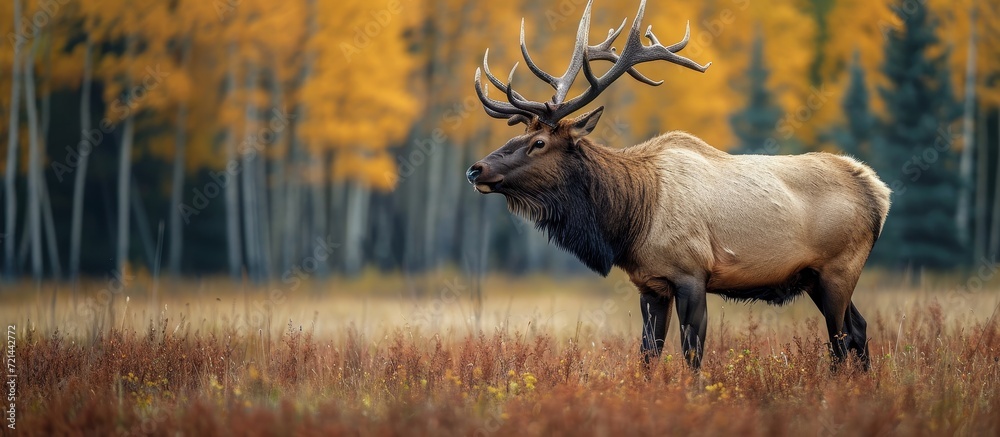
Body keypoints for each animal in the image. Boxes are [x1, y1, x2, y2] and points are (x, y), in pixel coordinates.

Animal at [464, 0, 891, 370]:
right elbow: (647, 355)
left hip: (839, 268)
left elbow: (692, 355)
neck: (631, 219)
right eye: (520, 135)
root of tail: (879, 193)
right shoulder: (650, 284)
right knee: (859, 329)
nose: (475, 169)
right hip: (818, 278)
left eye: (539, 143)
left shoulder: (692, 274)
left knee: (840, 341)